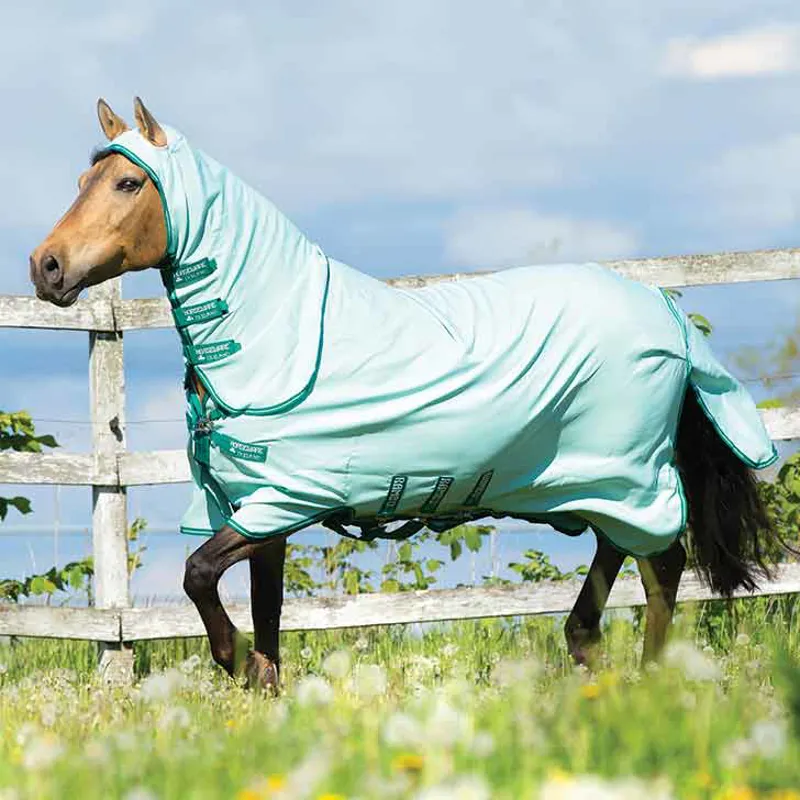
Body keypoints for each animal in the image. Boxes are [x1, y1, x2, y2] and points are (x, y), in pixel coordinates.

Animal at [30, 97, 785, 692]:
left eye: (129, 182)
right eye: (82, 180)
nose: (46, 266)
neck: (279, 338)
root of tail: (663, 310)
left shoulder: (287, 500)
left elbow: (195, 575)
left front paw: (233, 662)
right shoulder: (260, 515)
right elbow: (266, 624)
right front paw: (262, 689)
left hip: (625, 475)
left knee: (662, 564)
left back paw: (650, 684)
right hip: (593, 483)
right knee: (617, 577)